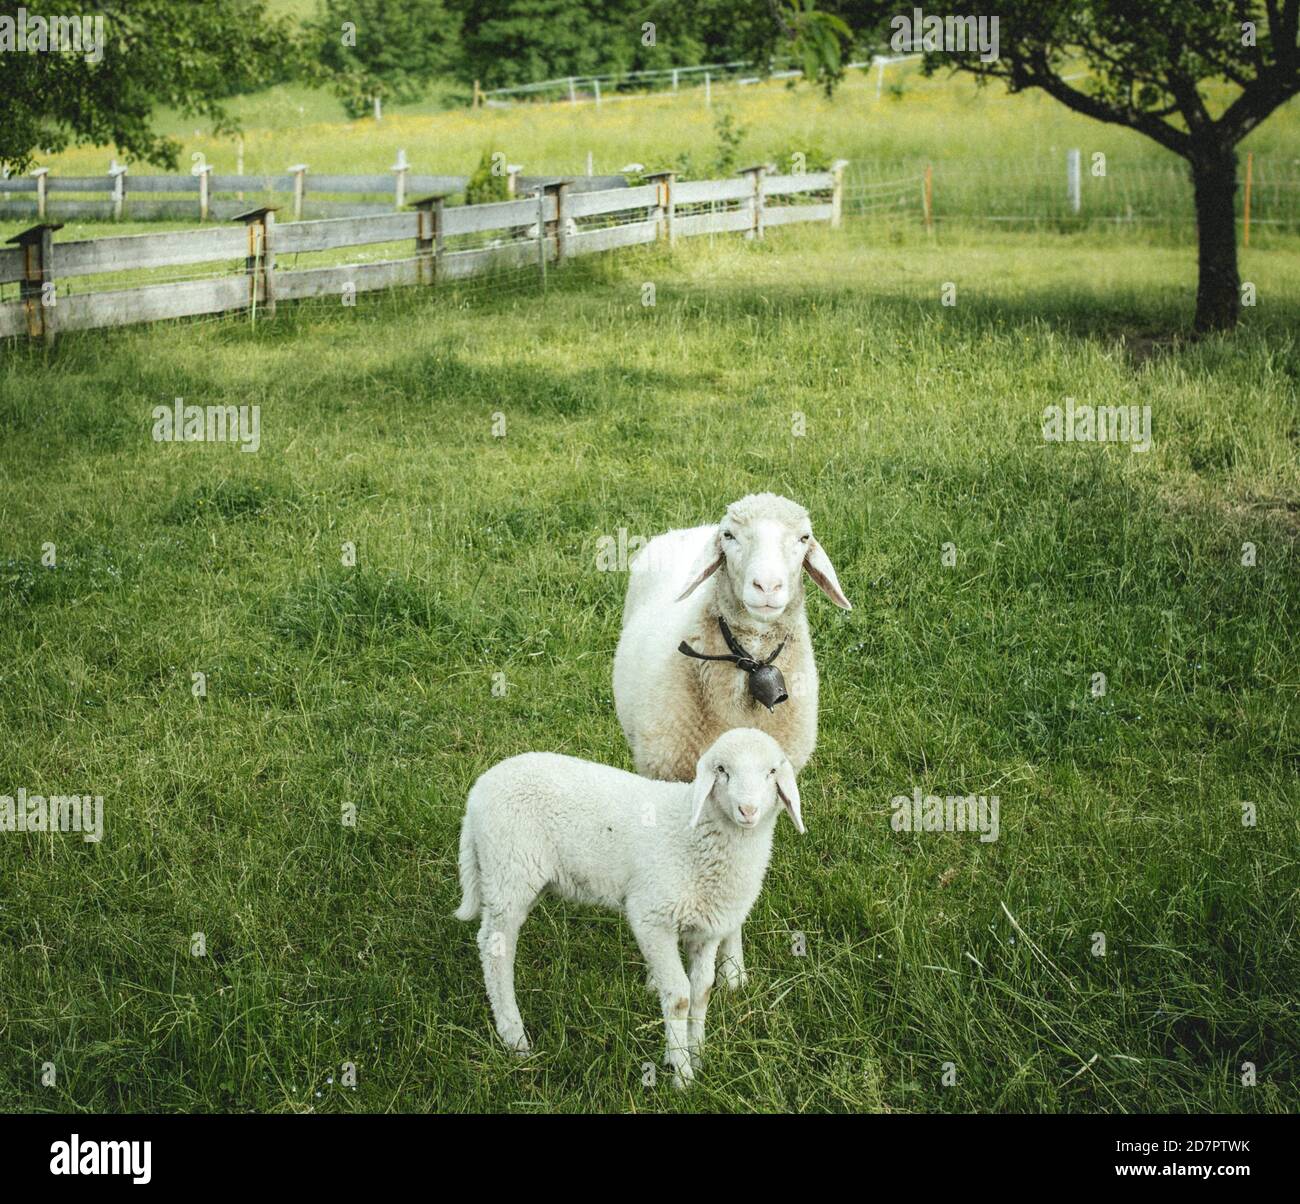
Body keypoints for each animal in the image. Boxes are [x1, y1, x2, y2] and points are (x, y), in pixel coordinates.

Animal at [455, 727, 804, 1088]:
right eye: (722, 770)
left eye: (772, 772)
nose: (747, 810)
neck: (694, 836)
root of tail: (478, 792)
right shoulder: (651, 918)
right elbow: (679, 995)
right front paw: (681, 1074)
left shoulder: (706, 931)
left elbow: (701, 992)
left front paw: (699, 1055)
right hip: (508, 873)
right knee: (494, 950)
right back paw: (514, 1037)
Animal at [612, 492, 850, 990]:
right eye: (731, 537)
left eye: (803, 538)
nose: (767, 586)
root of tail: (690, 526)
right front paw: (661, 973)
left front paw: (732, 970)